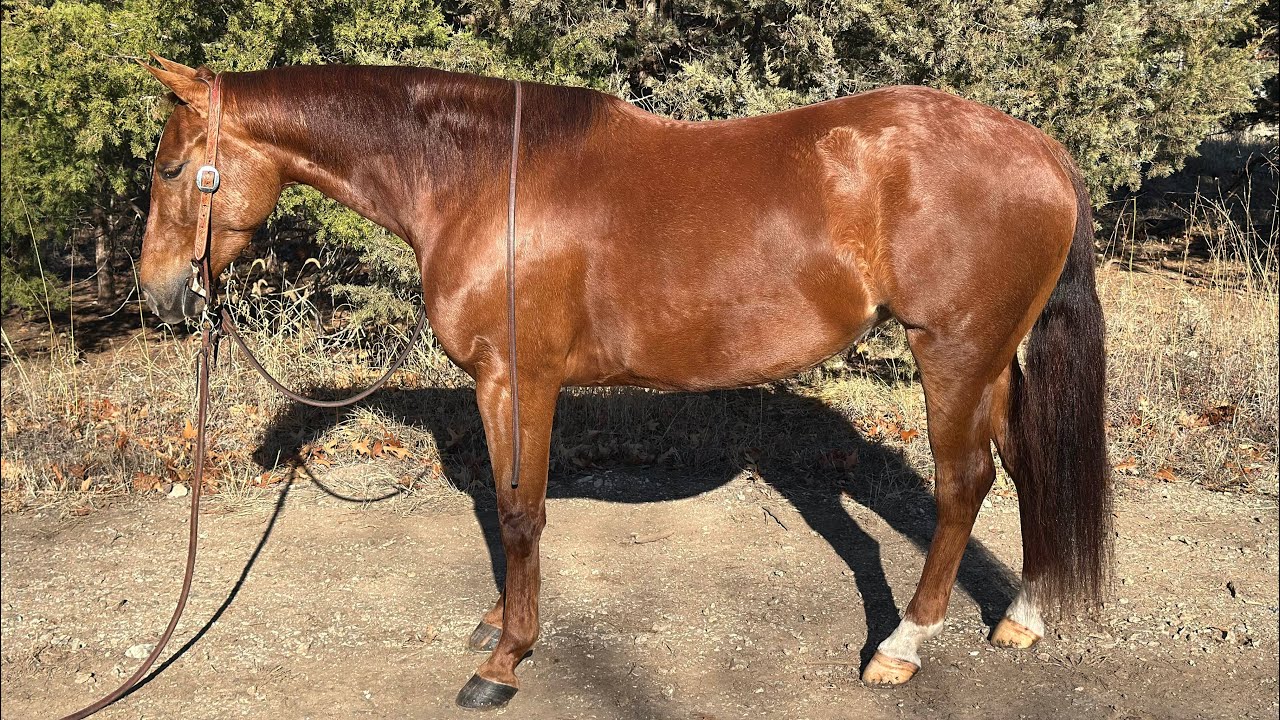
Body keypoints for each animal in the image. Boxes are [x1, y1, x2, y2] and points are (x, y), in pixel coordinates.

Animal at [137, 55, 1111, 710]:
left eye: (170, 168)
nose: (159, 294)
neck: (480, 181)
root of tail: (1039, 148)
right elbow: (508, 510)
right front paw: (498, 624)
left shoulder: (516, 379)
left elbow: (520, 512)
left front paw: (504, 662)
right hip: (992, 356)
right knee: (1025, 465)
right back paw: (1024, 614)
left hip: (953, 351)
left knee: (963, 483)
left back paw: (902, 645)